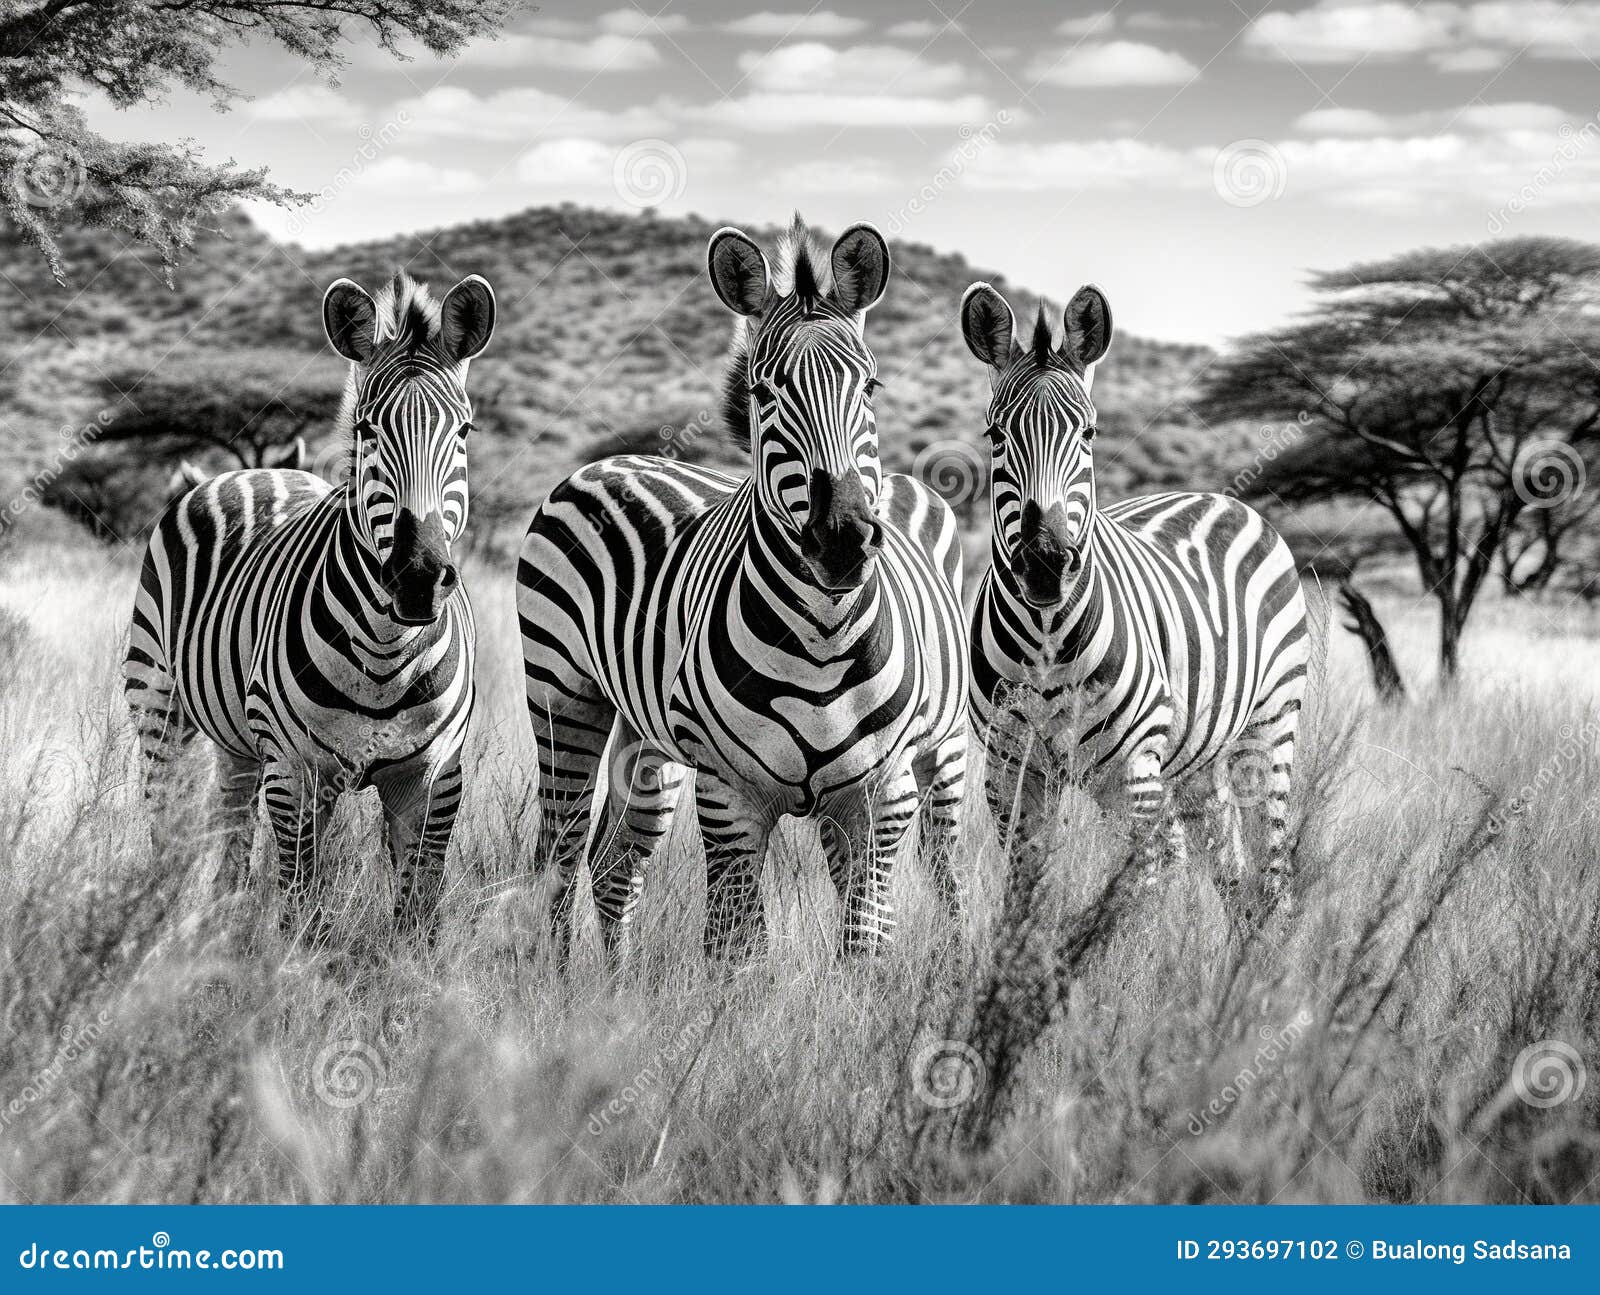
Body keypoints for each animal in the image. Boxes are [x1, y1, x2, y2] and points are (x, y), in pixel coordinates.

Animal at [124, 270, 495, 940]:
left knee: (232, 827)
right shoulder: (294, 768)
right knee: (166, 820)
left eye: (463, 433)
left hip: (240, 741)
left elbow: (417, 914)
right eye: (367, 430)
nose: (418, 580)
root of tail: (249, 472)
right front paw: (293, 967)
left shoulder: (433, 777)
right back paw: (155, 917)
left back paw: (221, 922)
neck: (384, 655)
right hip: (160, 705)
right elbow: (301, 906)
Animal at [518, 218, 968, 964]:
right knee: (568, 849)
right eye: (763, 392)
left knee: (947, 863)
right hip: (565, 693)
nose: (842, 538)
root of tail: (613, 458)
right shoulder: (729, 790)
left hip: (941, 747)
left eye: (871, 386)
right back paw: (561, 983)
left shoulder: (878, 795)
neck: (823, 634)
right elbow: (734, 944)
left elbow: (864, 940)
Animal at [959, 281, 1309, 901]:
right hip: (1194, 758)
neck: (1045, 638)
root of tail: (1219, 497)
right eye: (996, 436)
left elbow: (1136, 899)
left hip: (1269, 726)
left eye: (1089, 433)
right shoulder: (1010, 773)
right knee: (1224, 870)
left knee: (1268, 871)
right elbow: (1025, 895)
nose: (1045, 565)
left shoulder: (1130, 772)